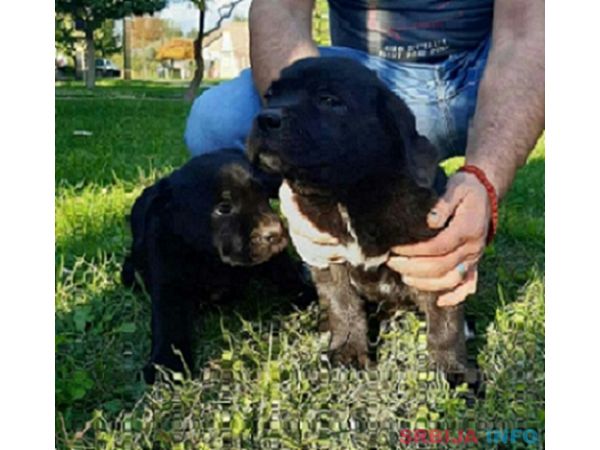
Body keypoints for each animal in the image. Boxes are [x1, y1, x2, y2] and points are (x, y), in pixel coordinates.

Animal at [123, 149, 298, 382]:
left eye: (263, 194)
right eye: (224, 208)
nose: (275, 233)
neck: (211, 259)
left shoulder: (275, 261)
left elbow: (291, 276)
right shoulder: (168, 285)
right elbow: (168, 323)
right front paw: (166, 366)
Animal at [246, 54, 476, 382]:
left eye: (328, 100)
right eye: (269, 96)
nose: (264, 118)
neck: (348, 195)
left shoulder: (437, 260)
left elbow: (445, 321)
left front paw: (453, 370)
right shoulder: (329, 261)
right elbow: (343, 306)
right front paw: (348, 351)